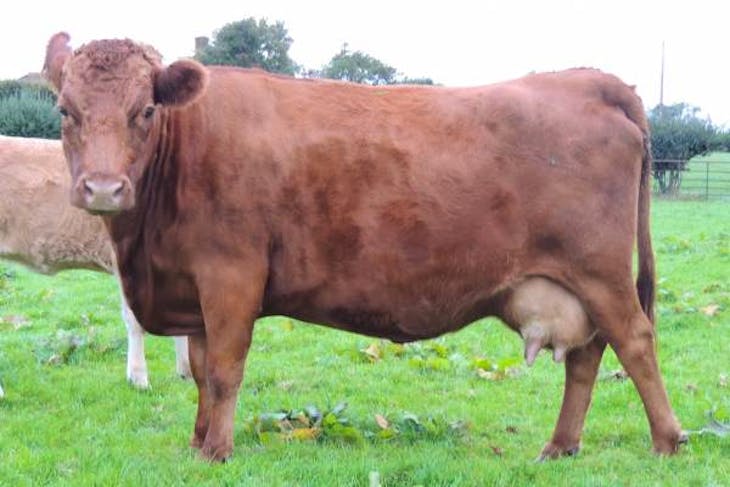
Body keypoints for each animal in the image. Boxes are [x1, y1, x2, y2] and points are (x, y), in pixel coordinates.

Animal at [43, 32, 685, 461]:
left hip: (599, 272)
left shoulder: (230, 276)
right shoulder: (193, 289)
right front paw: (200, 443)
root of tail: (588, 80)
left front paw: (217, 452)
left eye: (146, 109)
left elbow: (224, 370)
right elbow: (202, 372)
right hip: (576, 283)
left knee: (634, 341)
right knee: (587, 354)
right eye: (65, 110)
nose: (103, 188)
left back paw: (667, 441)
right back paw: (560, 446)